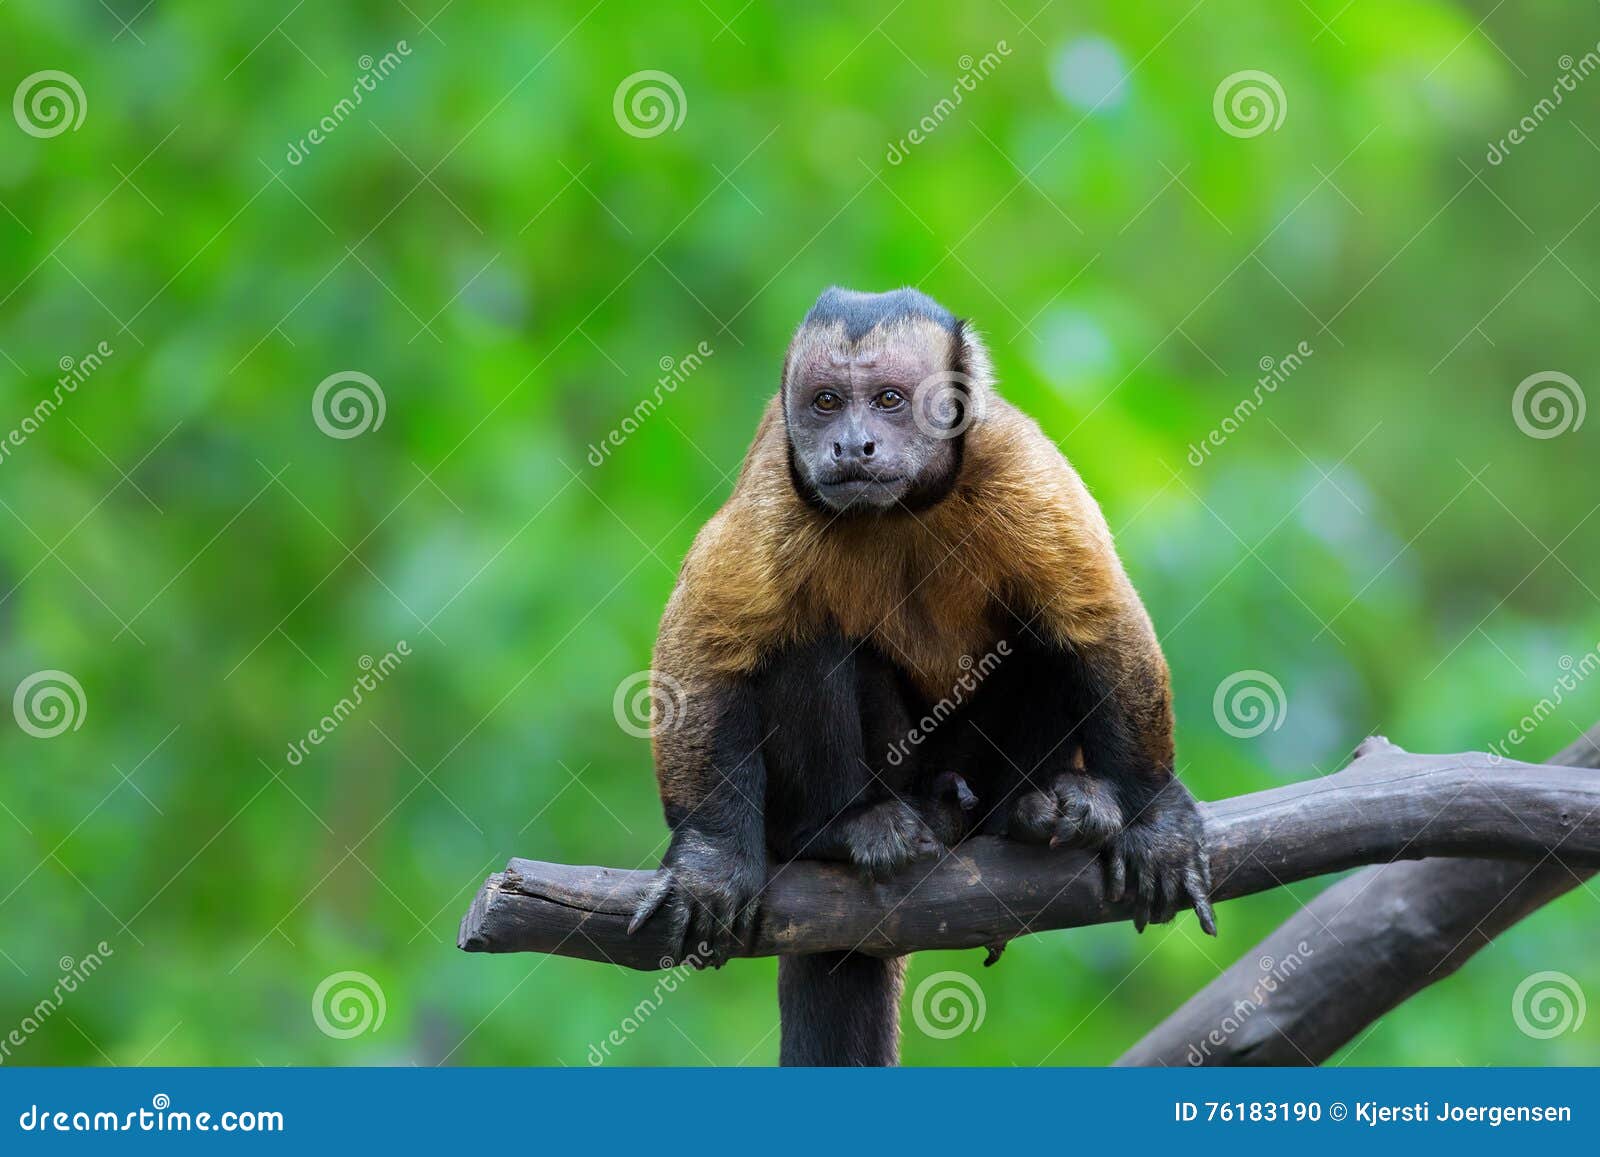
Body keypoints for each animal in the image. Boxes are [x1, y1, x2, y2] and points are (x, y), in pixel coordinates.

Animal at [628, 286, 1214, 1066]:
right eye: (824, 402)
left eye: (888, 399)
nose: (852, 444)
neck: (903, 507)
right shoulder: (776, 487)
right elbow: (704, 654)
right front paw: (711, 859)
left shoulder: (1016, 461)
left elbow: (1098, 622)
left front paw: (1154, 821)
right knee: (808, 645)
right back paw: (843, 829)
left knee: (1044, 637)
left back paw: (1031, 813)